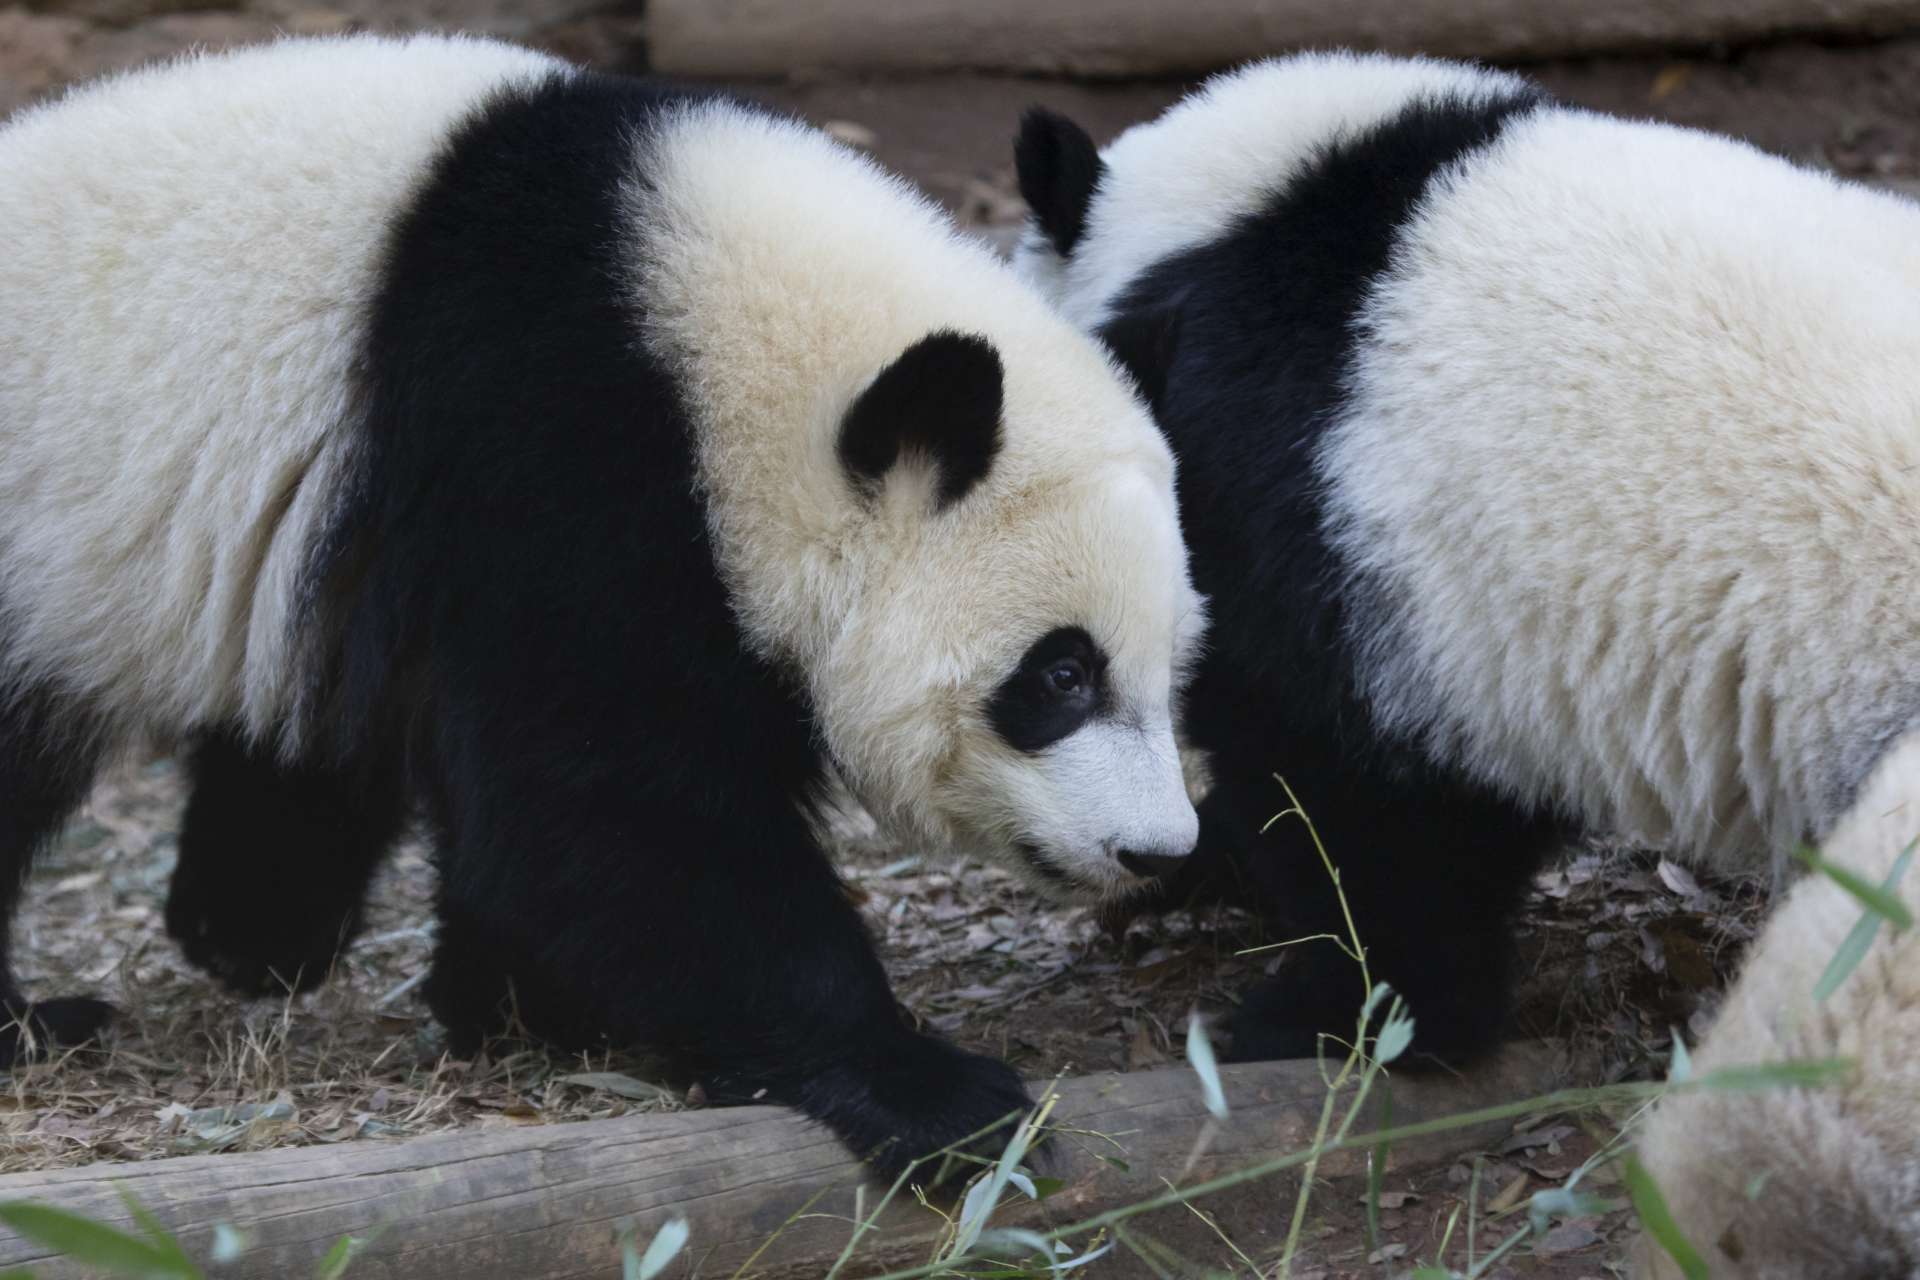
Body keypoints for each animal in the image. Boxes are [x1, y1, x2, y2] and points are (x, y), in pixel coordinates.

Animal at [0, 33, 1206, 1177]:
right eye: (1061, 673)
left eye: (1168, 672)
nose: (1158, 850)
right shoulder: (555, 442)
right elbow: (613, 805)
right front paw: (940, 1098)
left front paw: (511, 1002)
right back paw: (45, 1019)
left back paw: (246, 925)